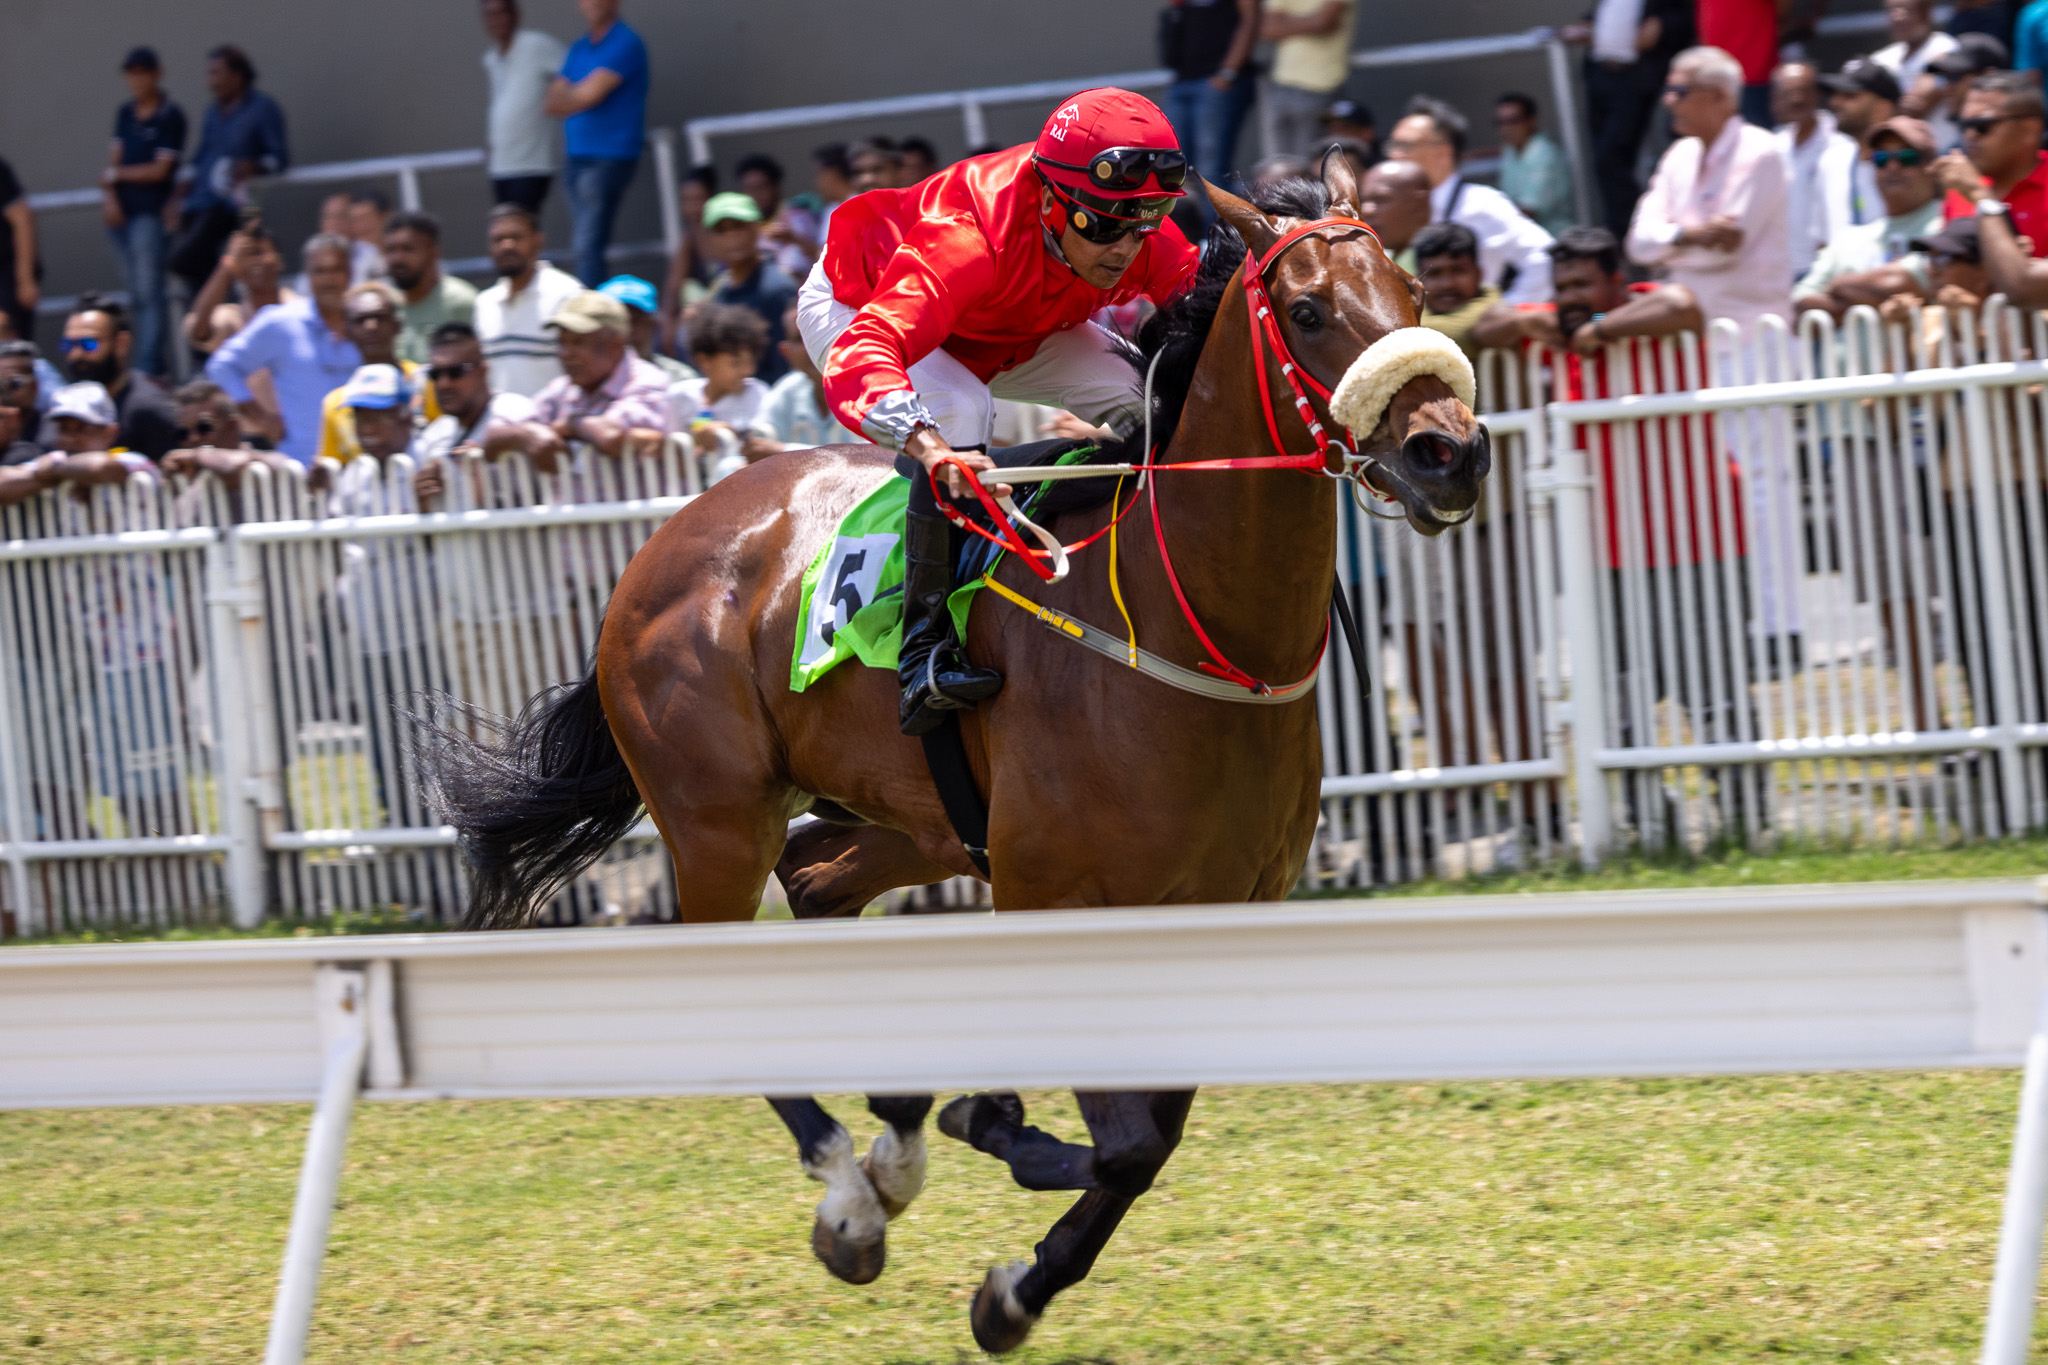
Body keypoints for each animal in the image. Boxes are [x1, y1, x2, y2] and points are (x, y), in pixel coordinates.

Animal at [416, 160, 1489, 1353]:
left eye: (1412, 287)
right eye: (1305, 310)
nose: (1448, 451)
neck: (1189, 622)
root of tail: (669, 537)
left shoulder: (1217, 909)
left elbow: (1151, 1136)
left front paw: (1014, 1264)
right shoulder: (1048, 895)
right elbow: (1117, 1139)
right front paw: (1004, 1154)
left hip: (918, 816)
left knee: (818, 878)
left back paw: (890, 1138)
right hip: (716, 816)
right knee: (738, 968)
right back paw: (850, 1188)